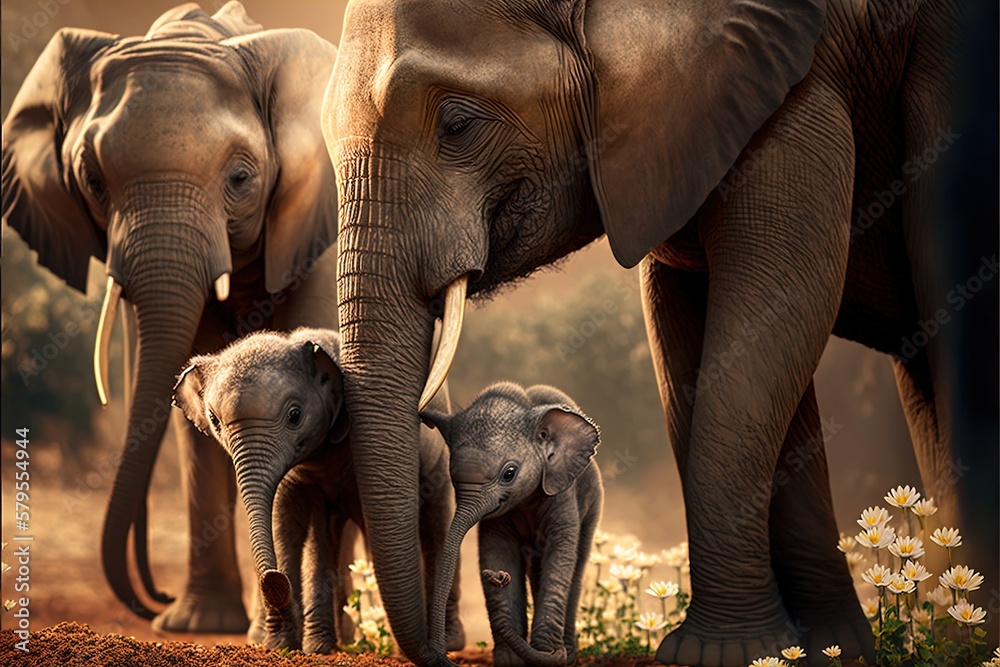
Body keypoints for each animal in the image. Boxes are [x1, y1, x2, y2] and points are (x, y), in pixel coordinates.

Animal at [173, 327, 466, 653]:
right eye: (214, 420)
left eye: (295, 416)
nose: (275, 580)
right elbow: (299, 528)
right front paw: (288, 646)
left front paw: (310, 647)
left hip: (438, 464)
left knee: (434, 528)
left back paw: (445, 643)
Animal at [421, 383, 603, 667]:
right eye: (452, 477)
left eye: (509, 474)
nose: (497, 578)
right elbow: (497, 550)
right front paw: (510, 660)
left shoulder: (563, 493)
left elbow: (560, 555)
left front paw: (547, 654)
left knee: (576, 564)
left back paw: (568, 655)